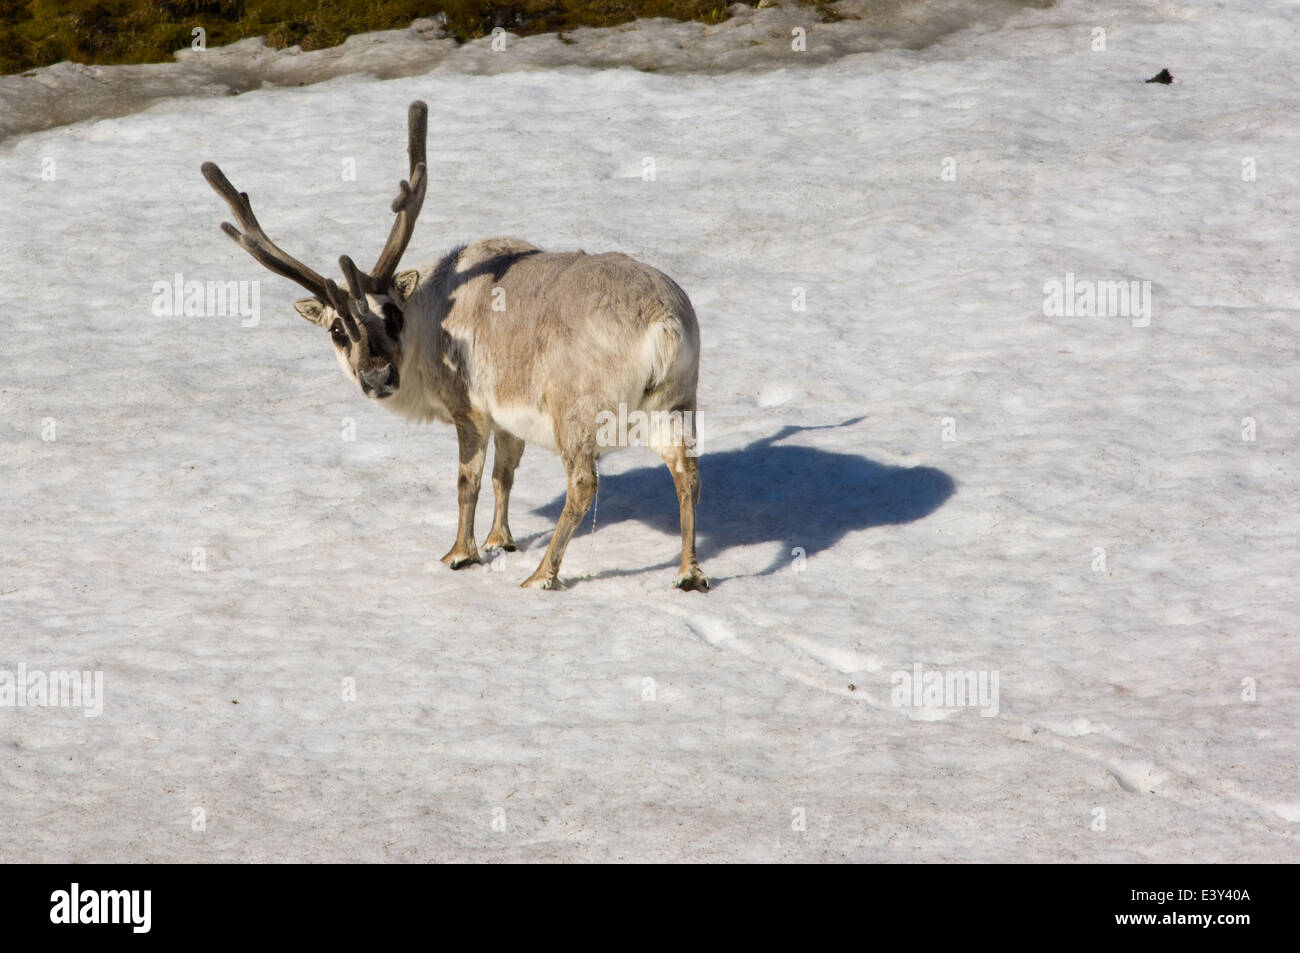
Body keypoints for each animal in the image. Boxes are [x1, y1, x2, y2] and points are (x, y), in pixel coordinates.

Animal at [200, 100, 708, 592]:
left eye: (392, 314)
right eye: (337, 330)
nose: (377, 377)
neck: (428, 316)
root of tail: (664, 324)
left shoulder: (469, 408)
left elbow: (468, 481)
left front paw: (460, 553)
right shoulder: (508, 415)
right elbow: (505, 474)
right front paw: (500, 540)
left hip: (578, 414)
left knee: (584, 484)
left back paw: (541, 576)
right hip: (677, 403)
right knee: (688, 473)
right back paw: (689, 573)